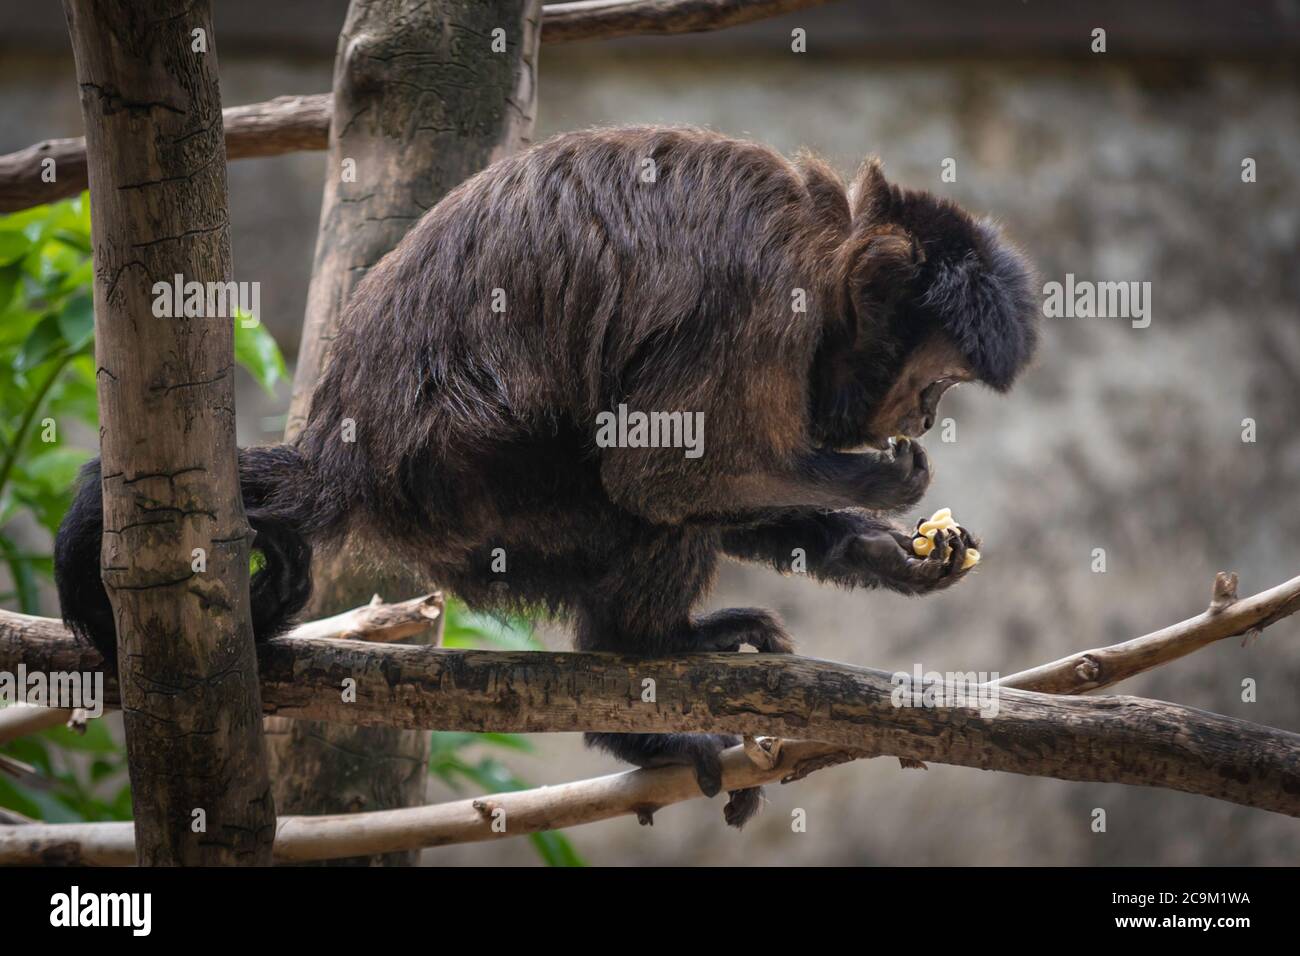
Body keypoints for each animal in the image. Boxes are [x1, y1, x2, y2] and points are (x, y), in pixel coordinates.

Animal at [55, 126, 1038, 829]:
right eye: (930, 385)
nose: (919, 420)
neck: (824, 246)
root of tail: (344, 452)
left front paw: (889, 556)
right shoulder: (762, 304)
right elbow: (659, 473)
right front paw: (878, 488)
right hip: (477, 498)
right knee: (632, 502)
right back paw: (642, 666)